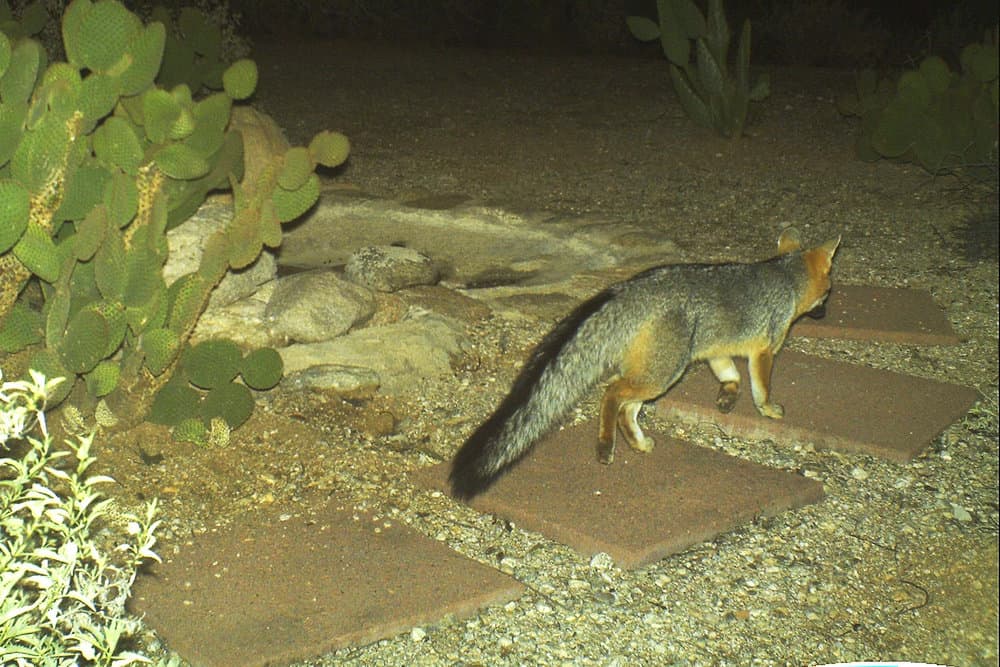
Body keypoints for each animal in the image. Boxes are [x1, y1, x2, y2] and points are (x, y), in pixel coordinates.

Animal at [449, 228, 841, 500]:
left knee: (627, 408)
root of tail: (632, 286)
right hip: (664, 374)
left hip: (659, 372)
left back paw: (637, 443)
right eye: (828, 292)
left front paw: (728, 396)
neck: (783, 277)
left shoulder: (714, 350)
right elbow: (761, 387)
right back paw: (606, 445)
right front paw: (769, 409)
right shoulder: (765, 350)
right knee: (611, 394)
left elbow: (731, 375)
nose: (825, 313)